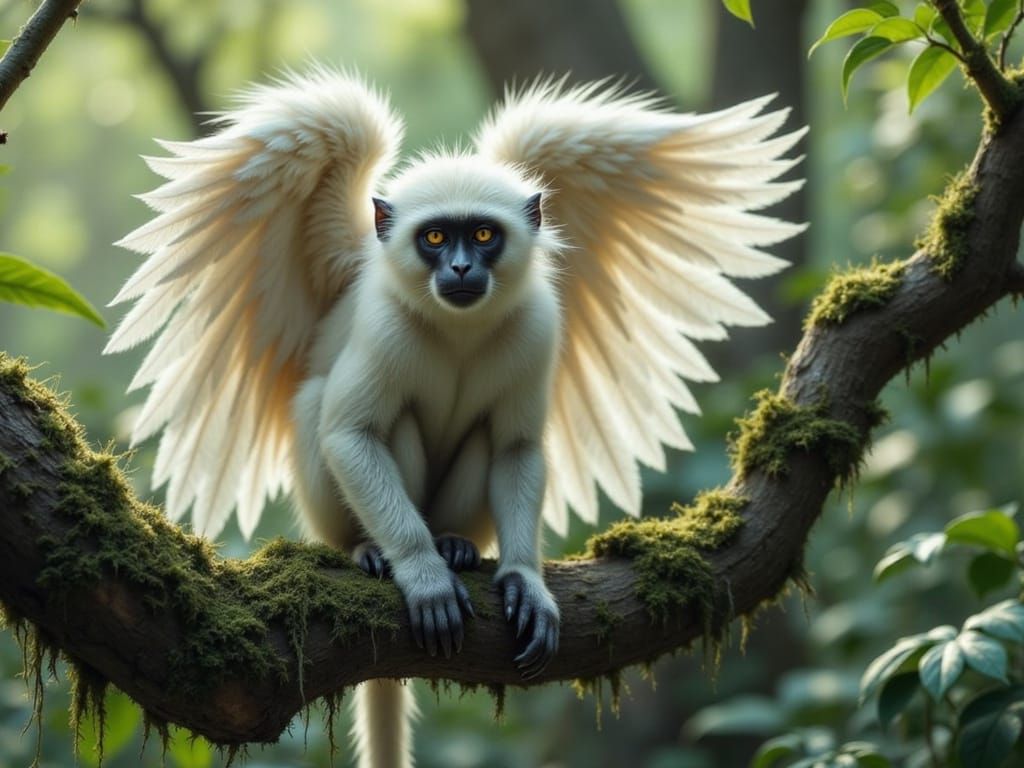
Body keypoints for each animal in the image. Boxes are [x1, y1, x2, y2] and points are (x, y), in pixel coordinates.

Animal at [107, 68, 805, 768]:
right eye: (437, 237)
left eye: (485, 235)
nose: (462, 267)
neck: (458, 325)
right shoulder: (385, 327)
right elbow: (351, 433)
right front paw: (422, 576)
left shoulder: (537, 327)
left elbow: (518, 447)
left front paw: (525, 579)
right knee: (339, 413)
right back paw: (373, 550)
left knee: (483, 441)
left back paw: (455, 543)